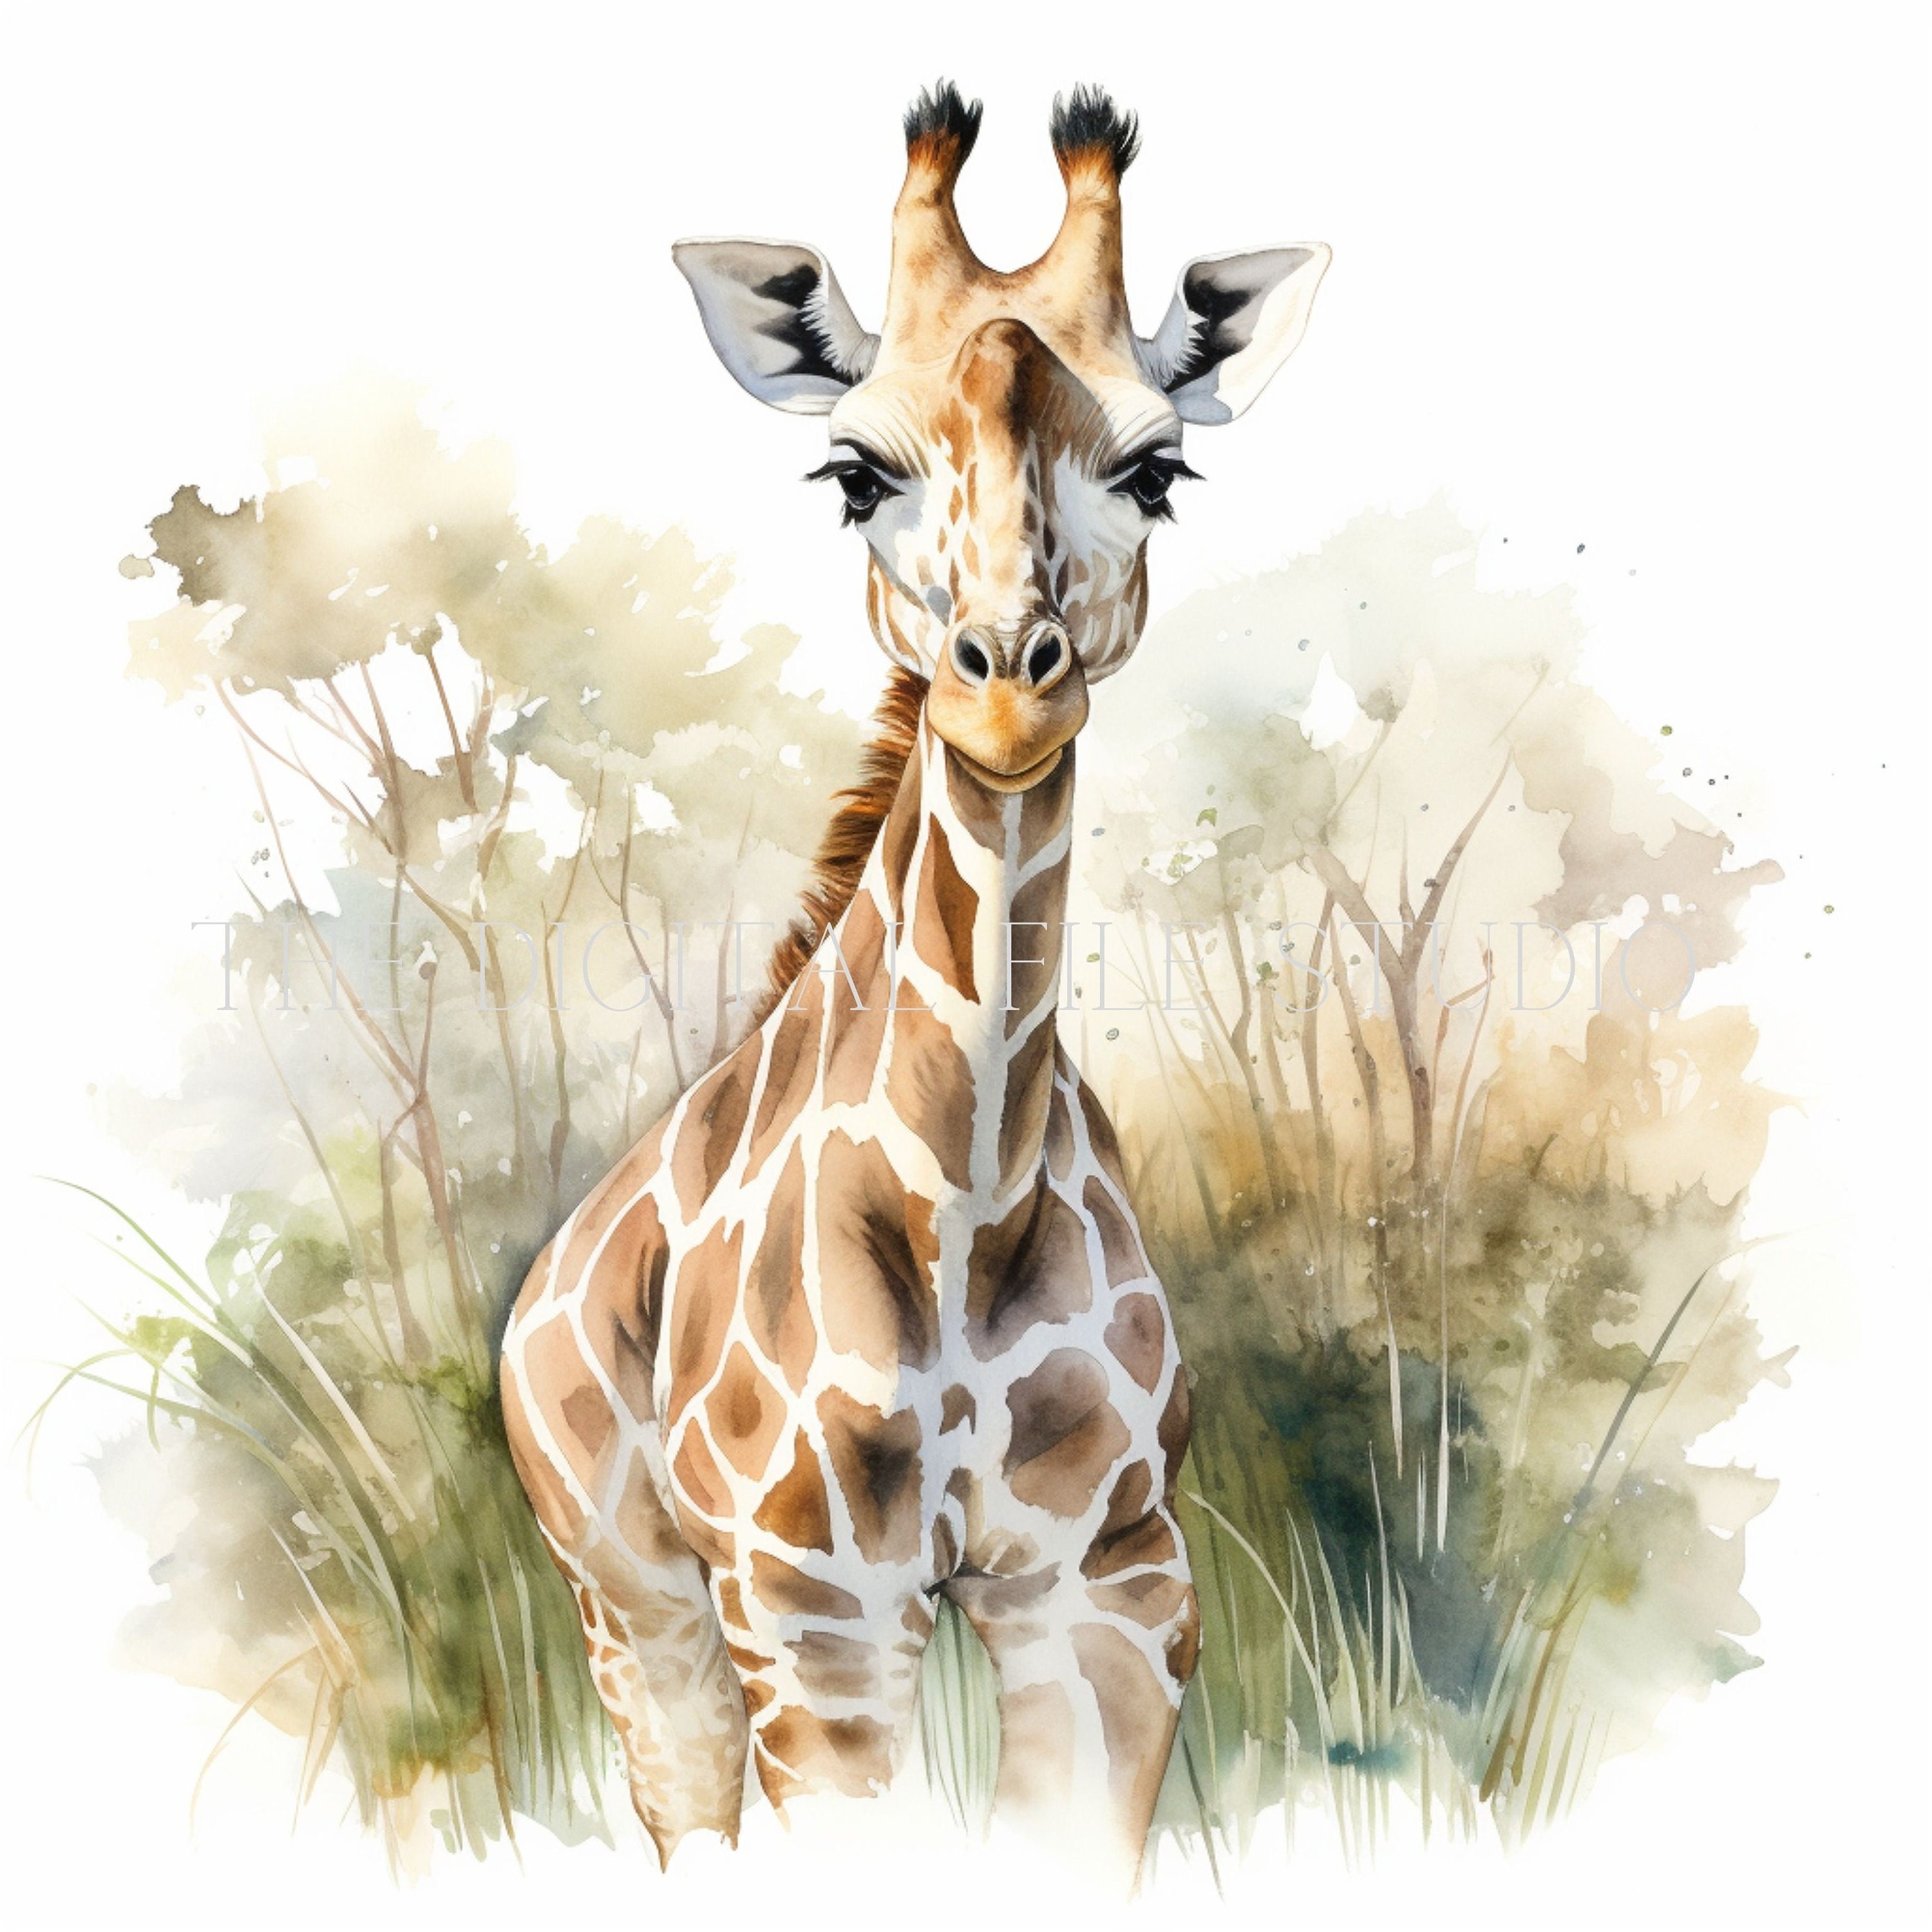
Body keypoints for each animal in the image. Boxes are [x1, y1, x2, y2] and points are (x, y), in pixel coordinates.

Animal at [500, 81, 1328, 1881]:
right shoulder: (813, 1612)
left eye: (1157, 468)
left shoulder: (1110, 1584)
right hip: (634, 1614)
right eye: (849, 468)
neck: (971, 1197)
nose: (1007, 686)